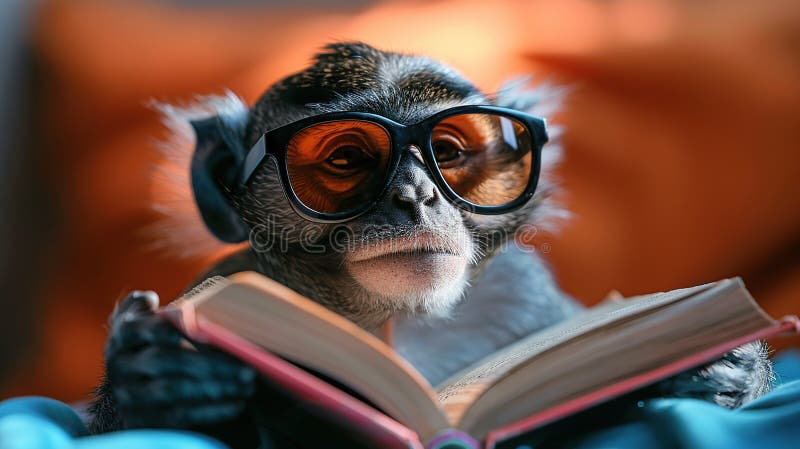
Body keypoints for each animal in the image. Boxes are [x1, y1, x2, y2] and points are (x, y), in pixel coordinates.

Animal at [88, 42, 774, 447]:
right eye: (347, 158)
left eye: (445, 151)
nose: (417, 194)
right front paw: (155, 374)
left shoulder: (522, 295)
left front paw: (707, 364)